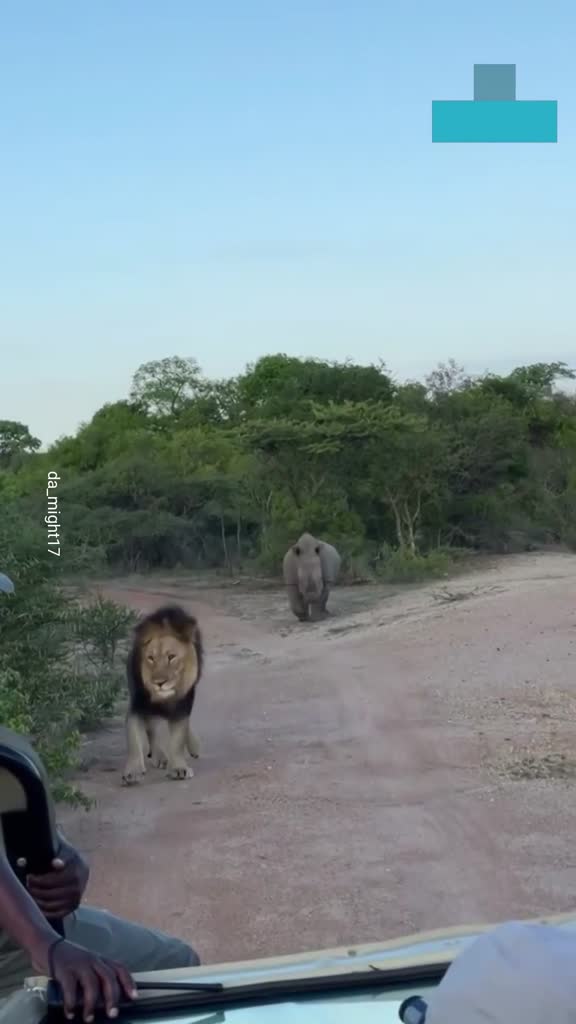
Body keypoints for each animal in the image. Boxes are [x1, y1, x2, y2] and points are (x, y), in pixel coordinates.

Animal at [121, 604, 204, 786]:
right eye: (150, 658)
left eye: (171, 657)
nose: (159, 683)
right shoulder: (138, 705)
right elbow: (133, 740)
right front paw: (132, 771)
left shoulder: (182, 707)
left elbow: (178, 738)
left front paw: (179, 768)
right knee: (151, 728)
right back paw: (159, 756)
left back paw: (194, 748)